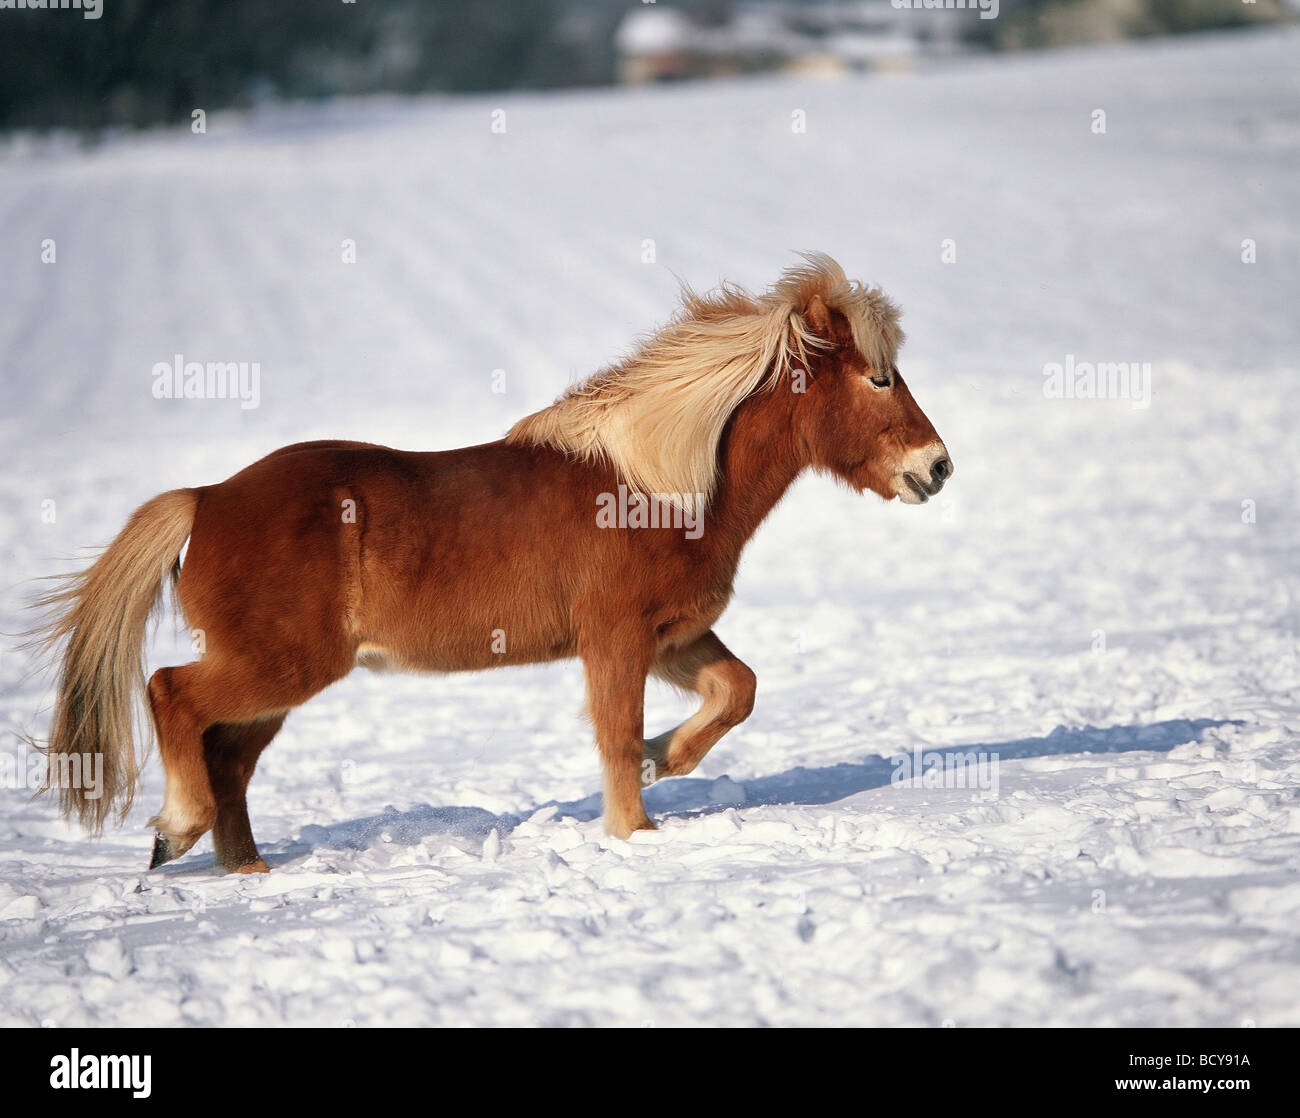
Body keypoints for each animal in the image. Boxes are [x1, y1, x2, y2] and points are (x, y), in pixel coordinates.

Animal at [32, 253, 952, 873]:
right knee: (171, 695)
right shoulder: (615, 640)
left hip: (276, 683)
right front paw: (635, 829)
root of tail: (206, 497)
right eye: (878, 379)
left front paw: (666, 758)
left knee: (226, 755)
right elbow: (618, 733)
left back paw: (245, 870)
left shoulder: (673, 637)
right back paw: (173, 829)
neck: (659, 485)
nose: (937, 467)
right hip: (276, 665)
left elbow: (738, 689)